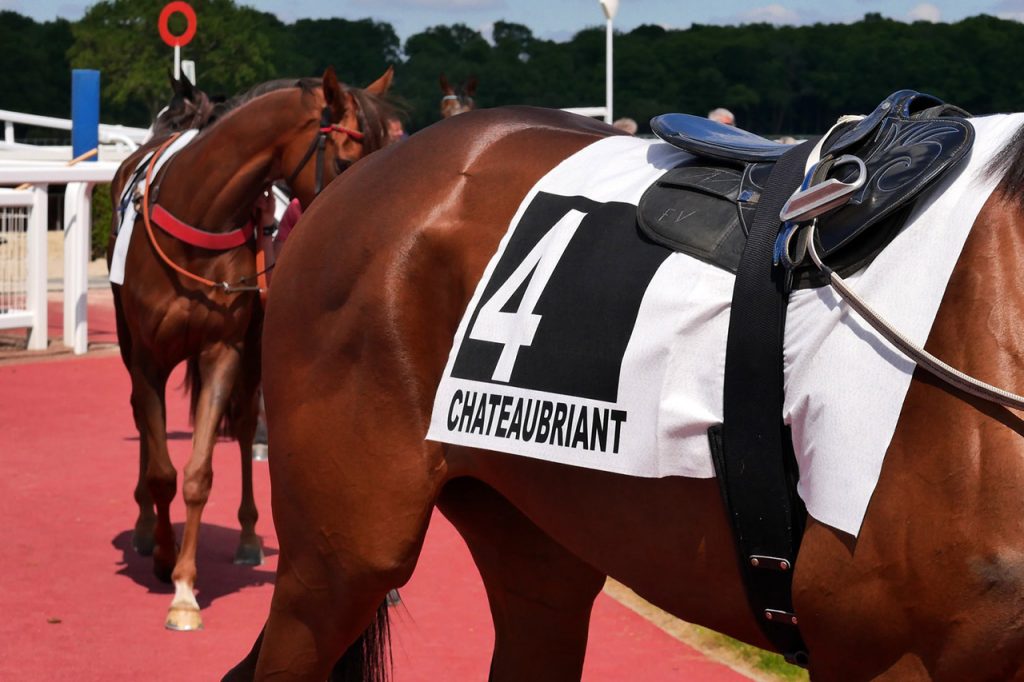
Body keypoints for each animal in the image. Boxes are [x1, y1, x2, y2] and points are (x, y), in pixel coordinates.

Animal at [108, 65, 394, 631]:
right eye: (346, 161)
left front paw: (184, 589)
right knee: (142, 422)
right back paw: (146, 529)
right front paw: (164, 556)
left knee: (242, 430)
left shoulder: (224, 349)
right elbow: (161, 469)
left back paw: (246, 537)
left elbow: (198, 473)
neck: (197, 219)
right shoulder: (149, 357)